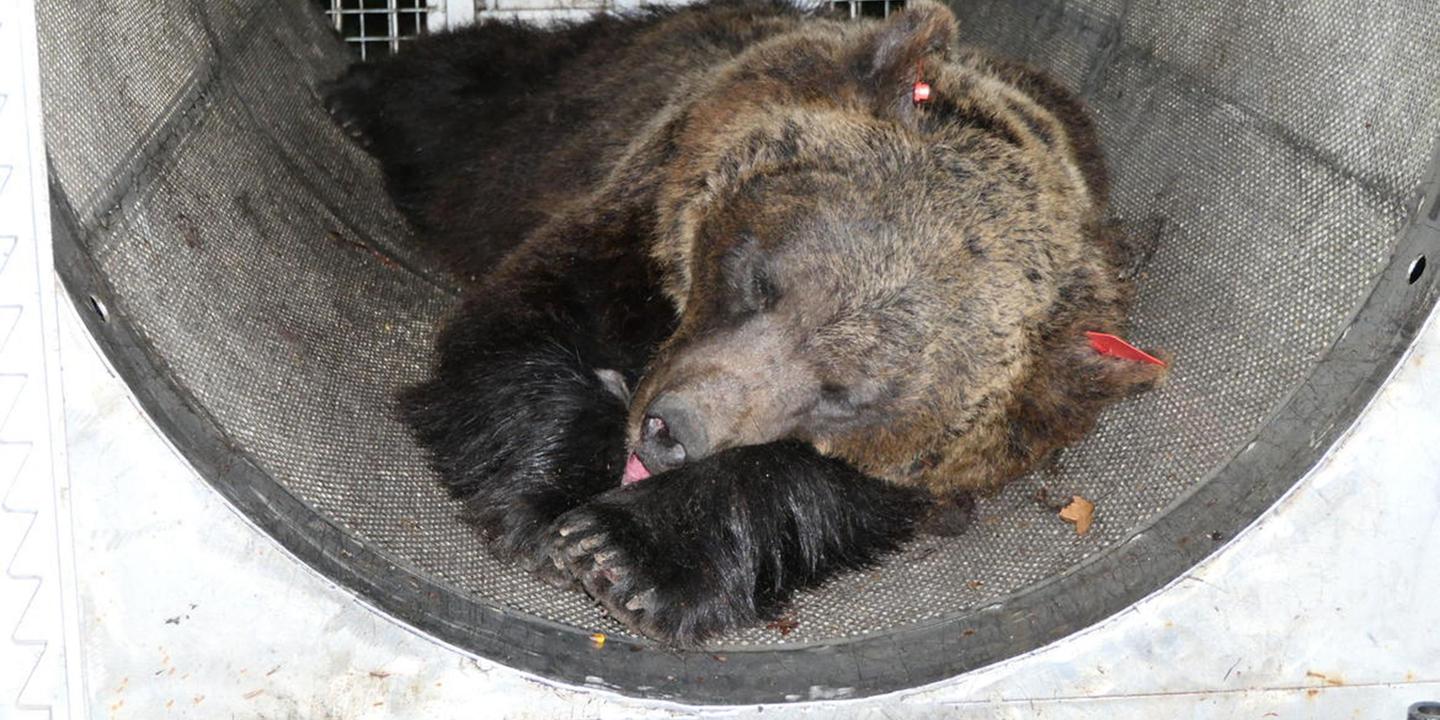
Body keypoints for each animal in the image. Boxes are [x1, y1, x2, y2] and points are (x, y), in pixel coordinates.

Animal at [325, 0, 1166, 645]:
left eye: (842, 393)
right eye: (762, 281)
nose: (670, 431)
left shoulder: (977, 440)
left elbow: (819, 488)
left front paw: (621, 552)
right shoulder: (633, 214)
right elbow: (523, 327)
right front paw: (546, 500)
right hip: (560, 110)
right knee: (475, 95)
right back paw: (357, 94)